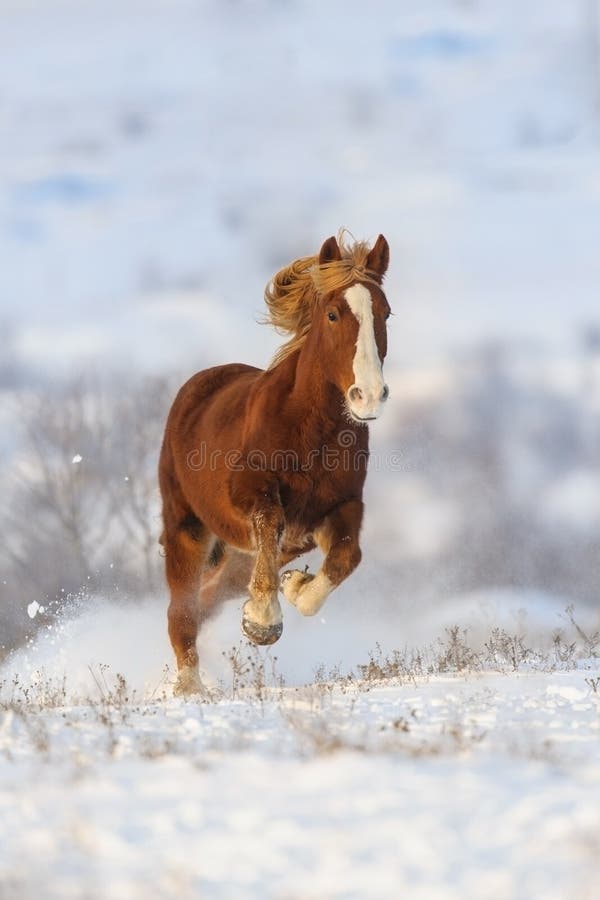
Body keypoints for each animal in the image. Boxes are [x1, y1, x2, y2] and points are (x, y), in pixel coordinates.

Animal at [159, 231, 392, 694]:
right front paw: (263, 623)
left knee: (213, 595)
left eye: (386, 312)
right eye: (333, 314)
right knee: (182, 612)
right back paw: (190, 689)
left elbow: (347, 556)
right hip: (186, 526)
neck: (312, 432)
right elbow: (270, 519)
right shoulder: (251, 494)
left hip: (244, 552)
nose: (369, 396)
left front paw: (296, 588)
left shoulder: (340, 508)